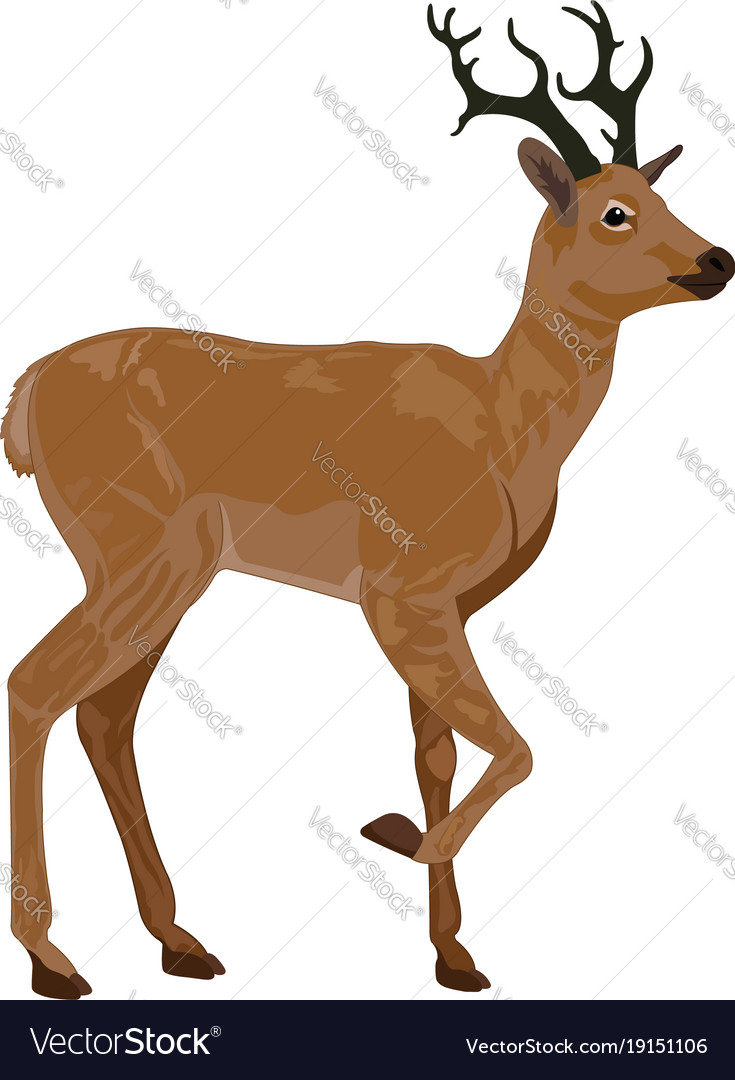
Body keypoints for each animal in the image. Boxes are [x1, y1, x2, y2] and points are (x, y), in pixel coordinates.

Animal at [2, 1, 732, 1000]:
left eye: (661, 195)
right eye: (615, 212)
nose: (717, 259)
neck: (502, 426)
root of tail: (25, 394)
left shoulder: (450, 605)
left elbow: (440, 755)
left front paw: (455, 956)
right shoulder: (401, 591)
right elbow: (517, 749)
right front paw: (395, 839)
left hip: (157, 573)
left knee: (104, 717)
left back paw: (179, 940)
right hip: (141, 552)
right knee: (36, 686)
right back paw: (54, 960)